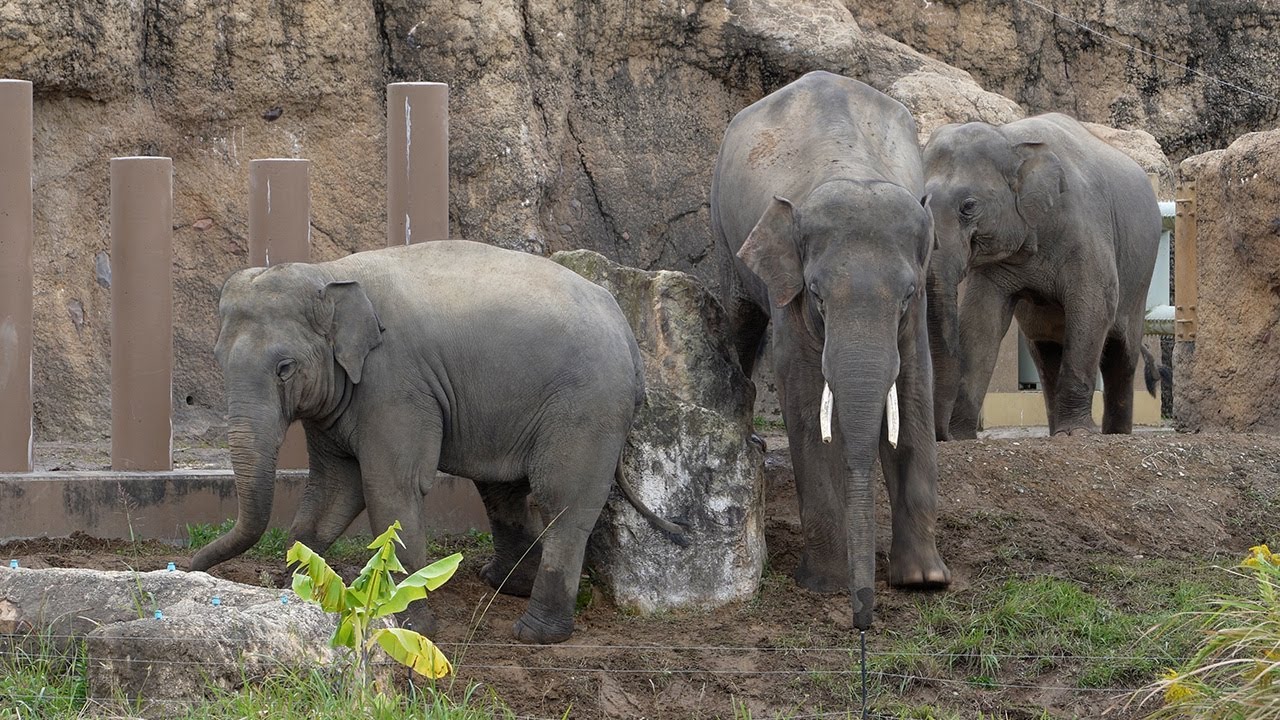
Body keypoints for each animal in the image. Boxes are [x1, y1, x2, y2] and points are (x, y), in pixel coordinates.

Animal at [189, 240, 684, 643]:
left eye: (285, 368)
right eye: (217, 358)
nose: (186, 567)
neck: (329, 272)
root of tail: (627, 333)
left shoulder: (396, 384)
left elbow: (391, 488)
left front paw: (411, 625)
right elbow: (334, 491)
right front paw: (297, 593)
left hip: (588, 406)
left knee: (561, 501)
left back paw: (534, 633)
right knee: (501, 490)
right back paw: (502, 584)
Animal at [710, 71, 950, 630]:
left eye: (906, 295)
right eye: (817, 294)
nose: (863, 619)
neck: (850, 172)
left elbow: (914, 387)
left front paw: (925, 581)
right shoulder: (791, 295)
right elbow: (800, 389)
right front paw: (825, 585)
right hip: (724, 230)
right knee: (738, 319)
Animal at [922, 113, 1162, 439]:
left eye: (969, 207)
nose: (941, 435)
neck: (1012, 140)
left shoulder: (1085, 228)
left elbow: (1093, 309)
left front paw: (1077, 434)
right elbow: (981, 321)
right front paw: (961, 437)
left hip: (1140, 275)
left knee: (1122, 353)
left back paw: (1115, 434)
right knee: (1045, 352)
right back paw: (1056, 431)